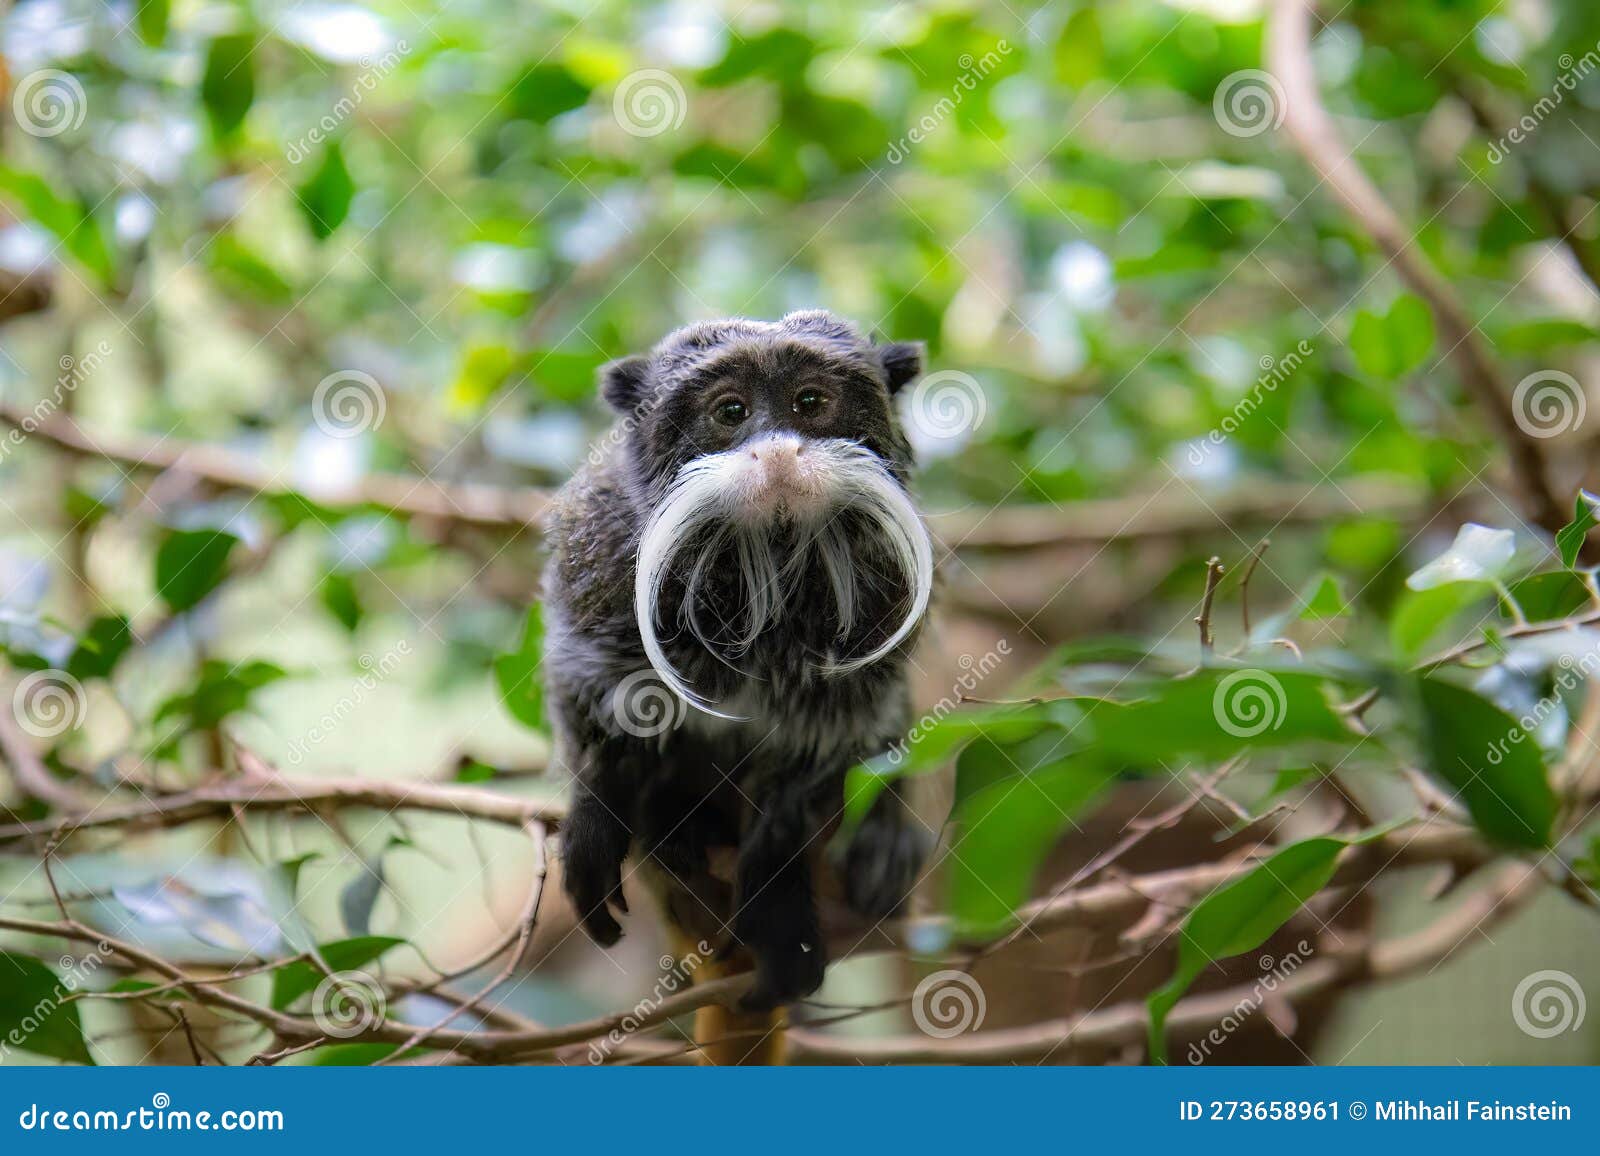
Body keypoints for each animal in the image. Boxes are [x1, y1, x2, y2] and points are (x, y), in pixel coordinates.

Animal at [542, 310, 935, 1019]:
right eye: (731, 411)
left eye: (809, 402)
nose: (776, 451)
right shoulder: (600, 558)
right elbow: (593, 691)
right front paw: (594, 816)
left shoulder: (885, 594)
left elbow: (831, 740)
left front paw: (777, 900)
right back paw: (678, 830)